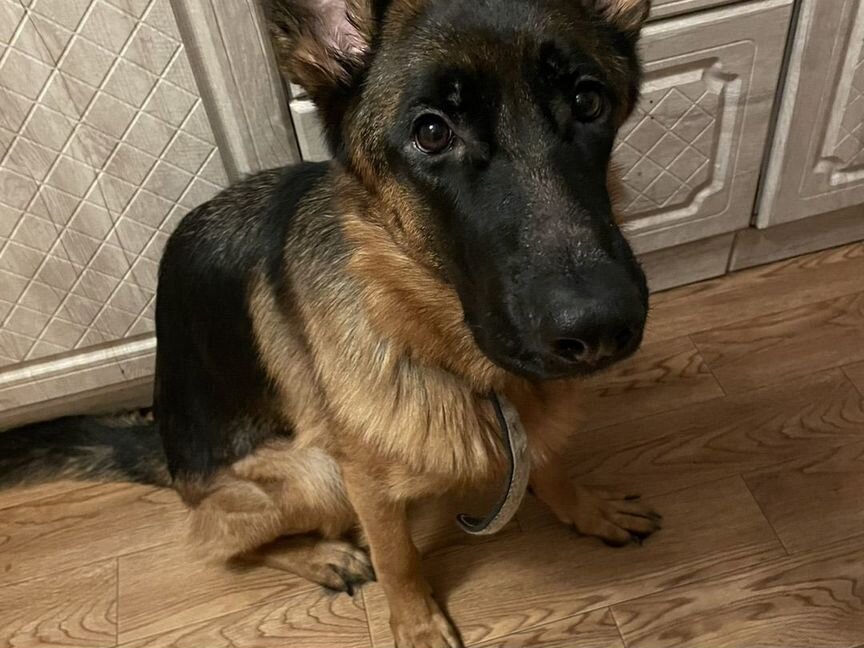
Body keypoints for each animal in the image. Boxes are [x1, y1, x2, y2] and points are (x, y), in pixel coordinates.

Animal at [0, 0, 659, 645]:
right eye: (431, 133)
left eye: (589, 102)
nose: (600, 329)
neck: (423, 330)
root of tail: (168, 454)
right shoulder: (364, 481)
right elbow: (398, 557)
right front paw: (416, 625)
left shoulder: (529, 425)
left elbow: (549, 465)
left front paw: (586, 509)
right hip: (316, 477)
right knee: (215, 544)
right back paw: (321, 556)